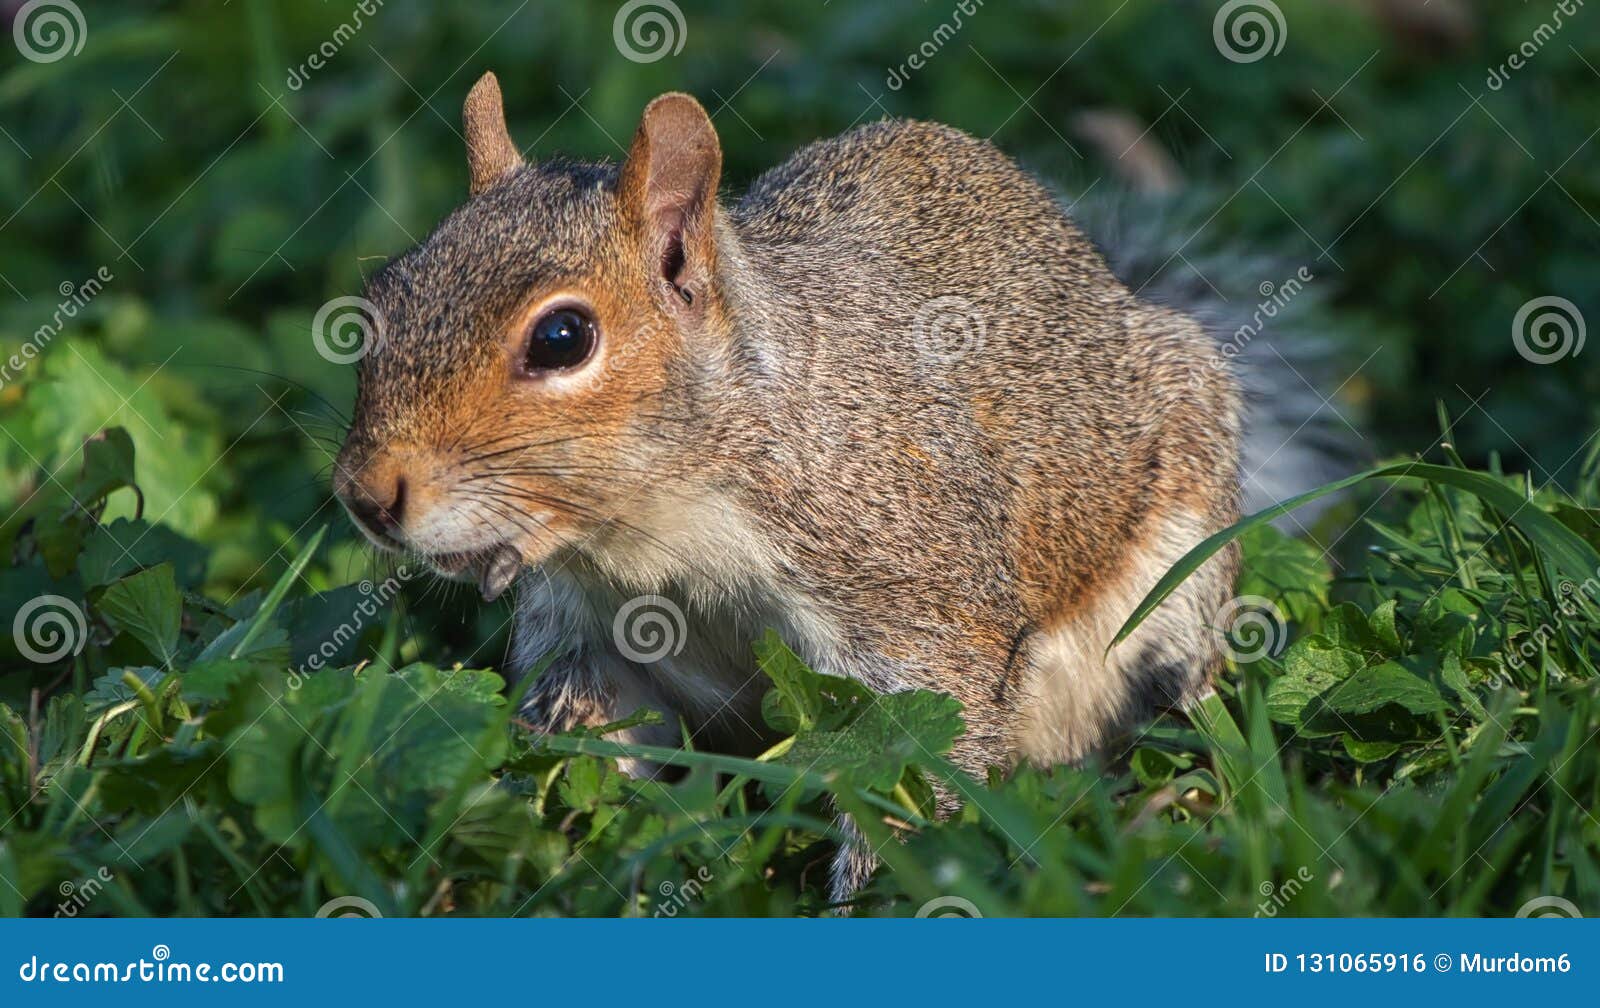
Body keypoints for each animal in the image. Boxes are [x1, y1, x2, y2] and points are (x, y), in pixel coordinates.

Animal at [334, 72, 1299, 904]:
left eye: (563, 337)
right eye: (381, 293)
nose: (366, 496)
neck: (658, 529)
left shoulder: (909, 592)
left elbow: (911, 764)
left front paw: (874, 902)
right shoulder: (590, 640)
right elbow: (588, 762)